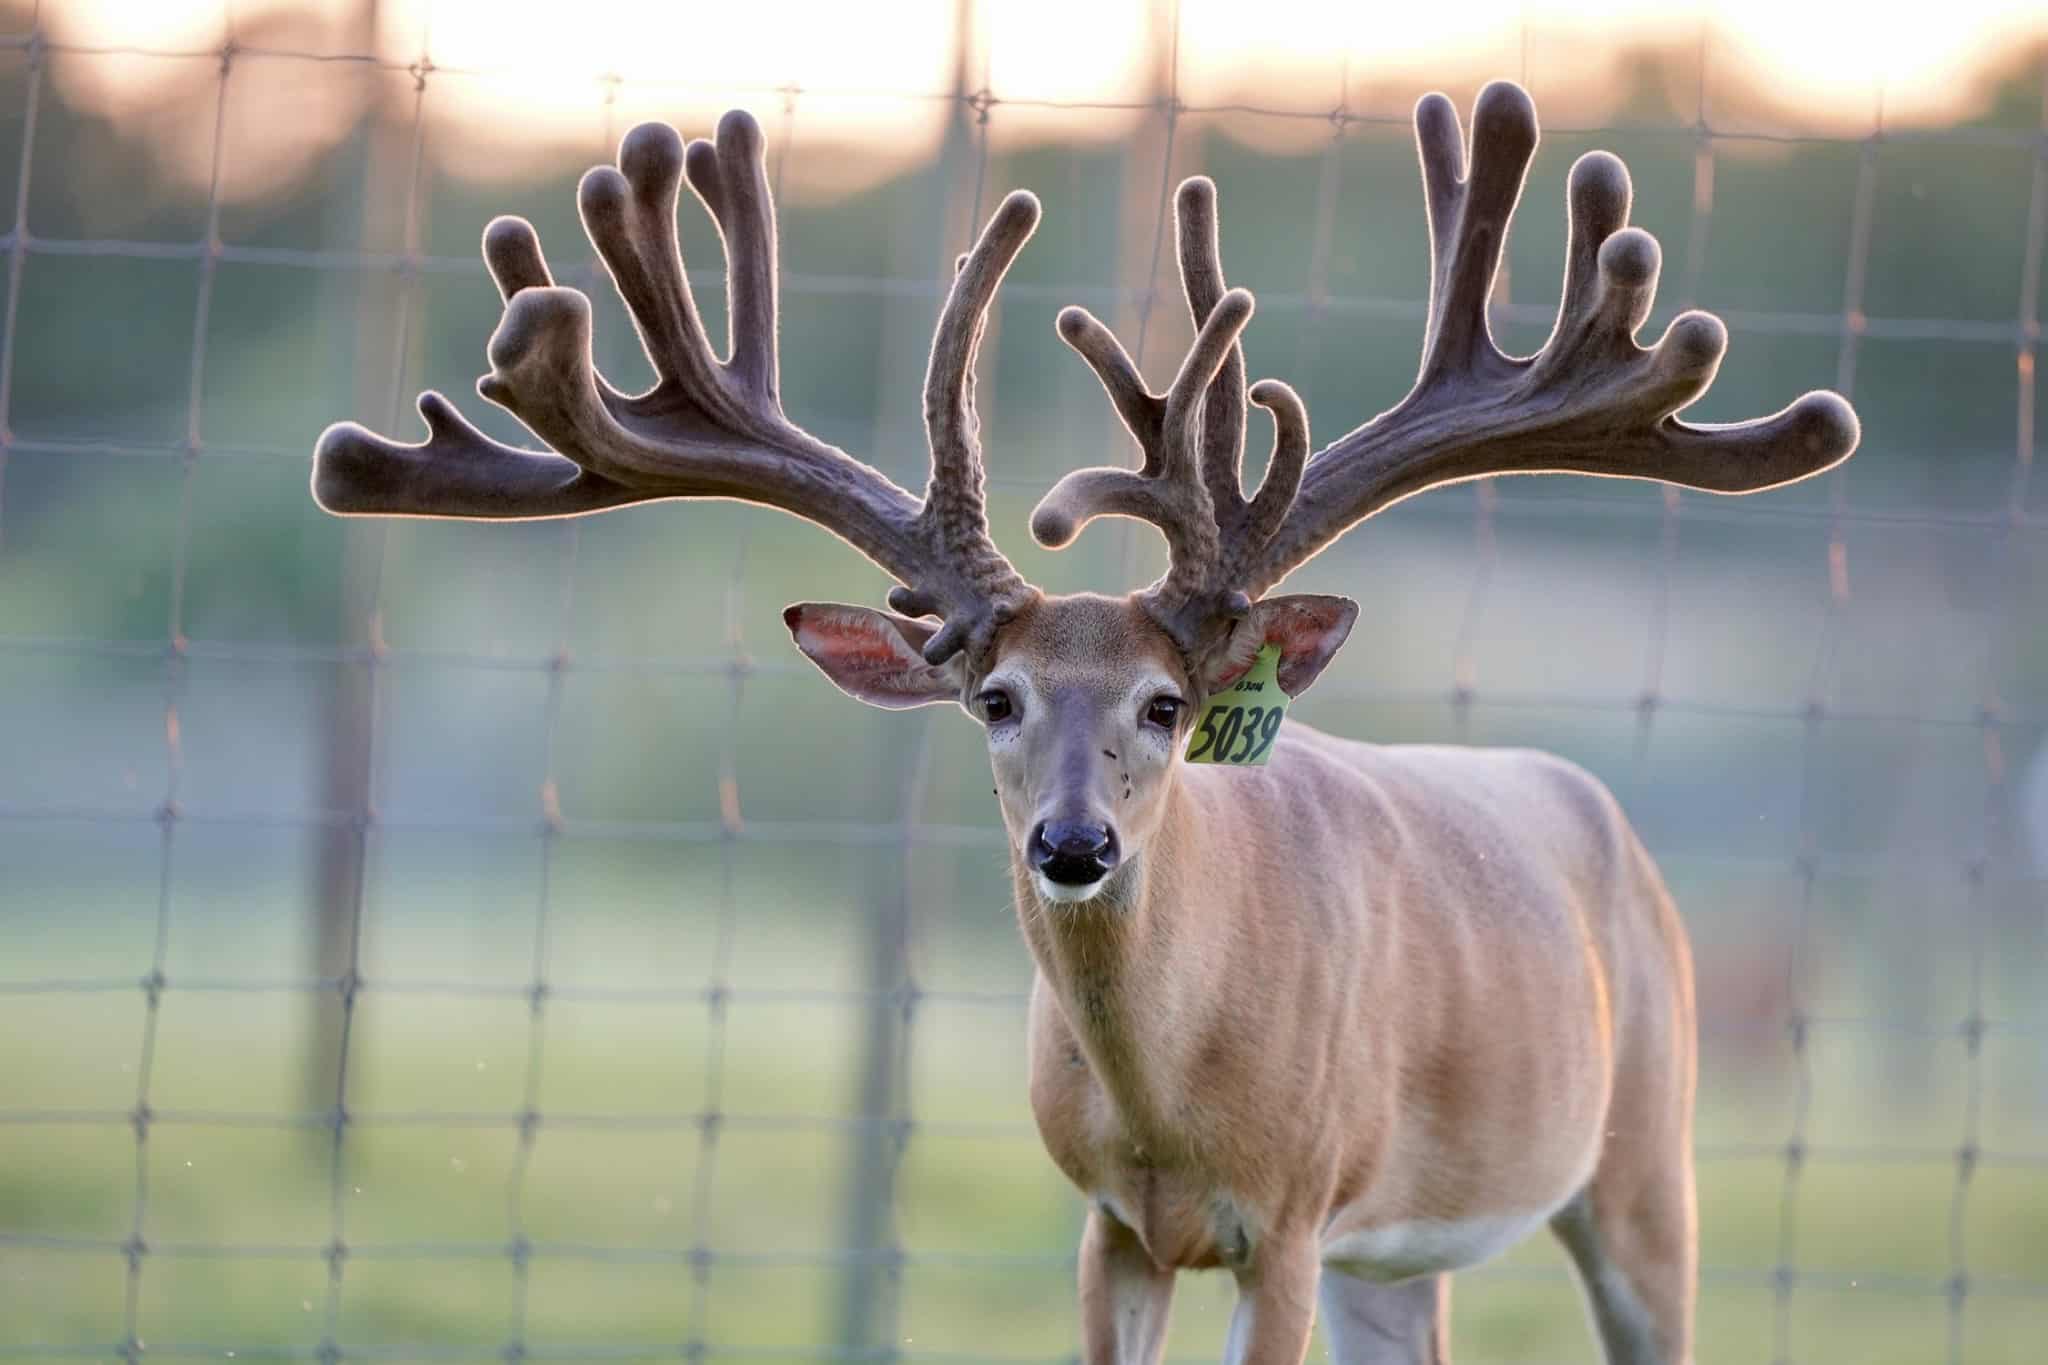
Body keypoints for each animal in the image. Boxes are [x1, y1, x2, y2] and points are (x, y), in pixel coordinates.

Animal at [311, 83, 1859, 1365]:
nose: (1072, 844)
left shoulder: (1291, 1214)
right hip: (1404, 1251)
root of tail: (1606, 827)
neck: (1170, 1107)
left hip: (1646, 1160)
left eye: (1165, 705)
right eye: (993, 699)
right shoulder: (1109, 1225)